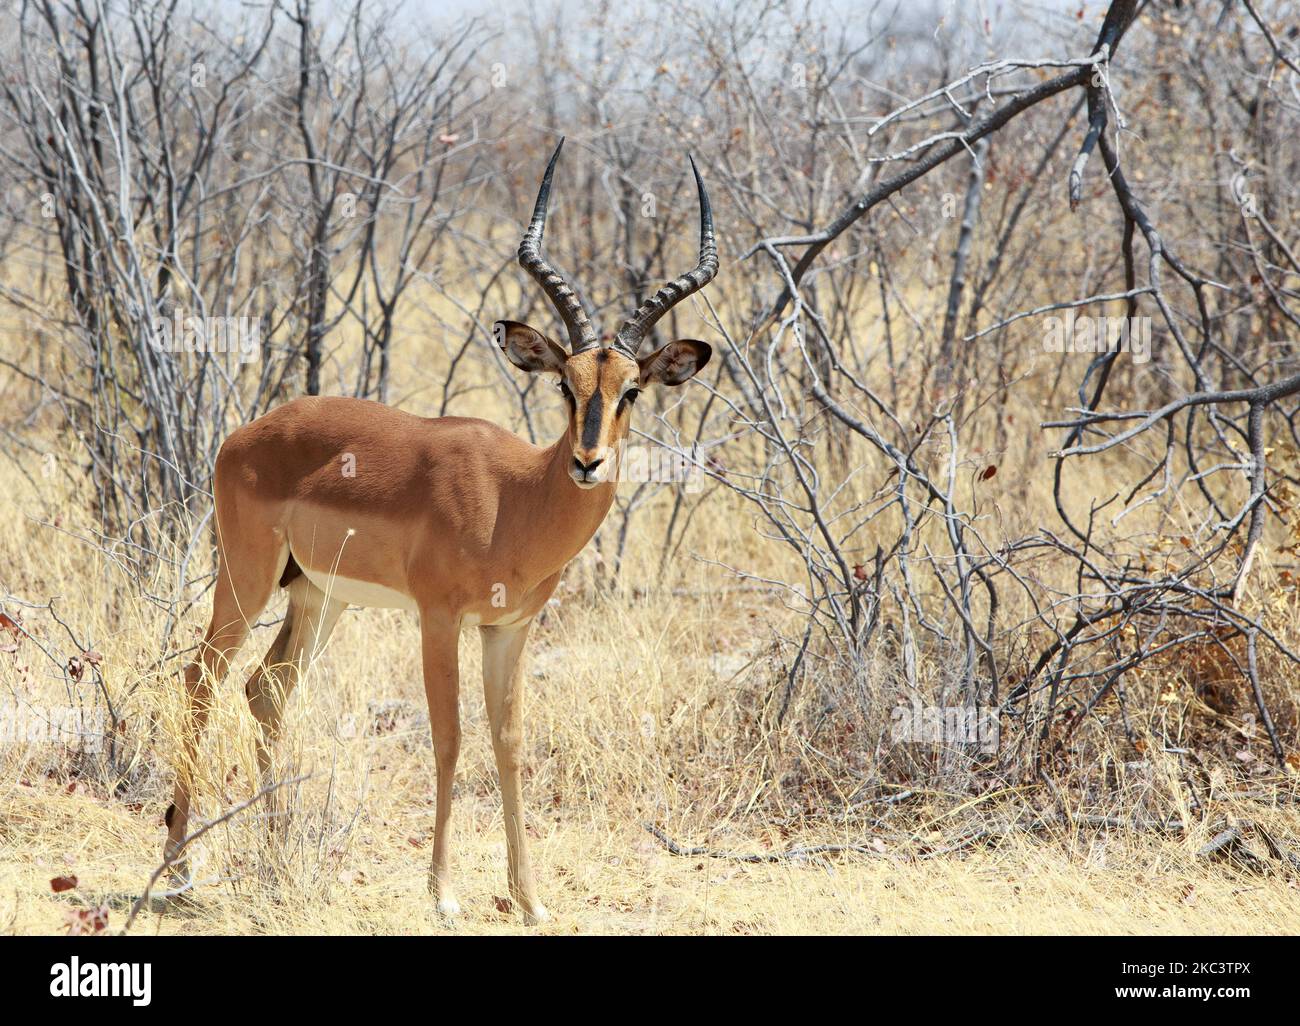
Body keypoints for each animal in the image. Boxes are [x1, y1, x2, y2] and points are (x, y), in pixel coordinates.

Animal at [163, 140, 719, 923]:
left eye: (630, 391)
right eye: (565, 385)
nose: (588, 461)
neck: (516, 499)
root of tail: (245, 433)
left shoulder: (509, 627)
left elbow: (509, 741)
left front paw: (529, 900)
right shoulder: (437, 617)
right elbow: (450, 737)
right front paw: (445, 894)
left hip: (319, 597)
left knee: (264, 690)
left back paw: (275, 857)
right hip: (246, 578)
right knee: (200, 679)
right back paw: (181, 865)